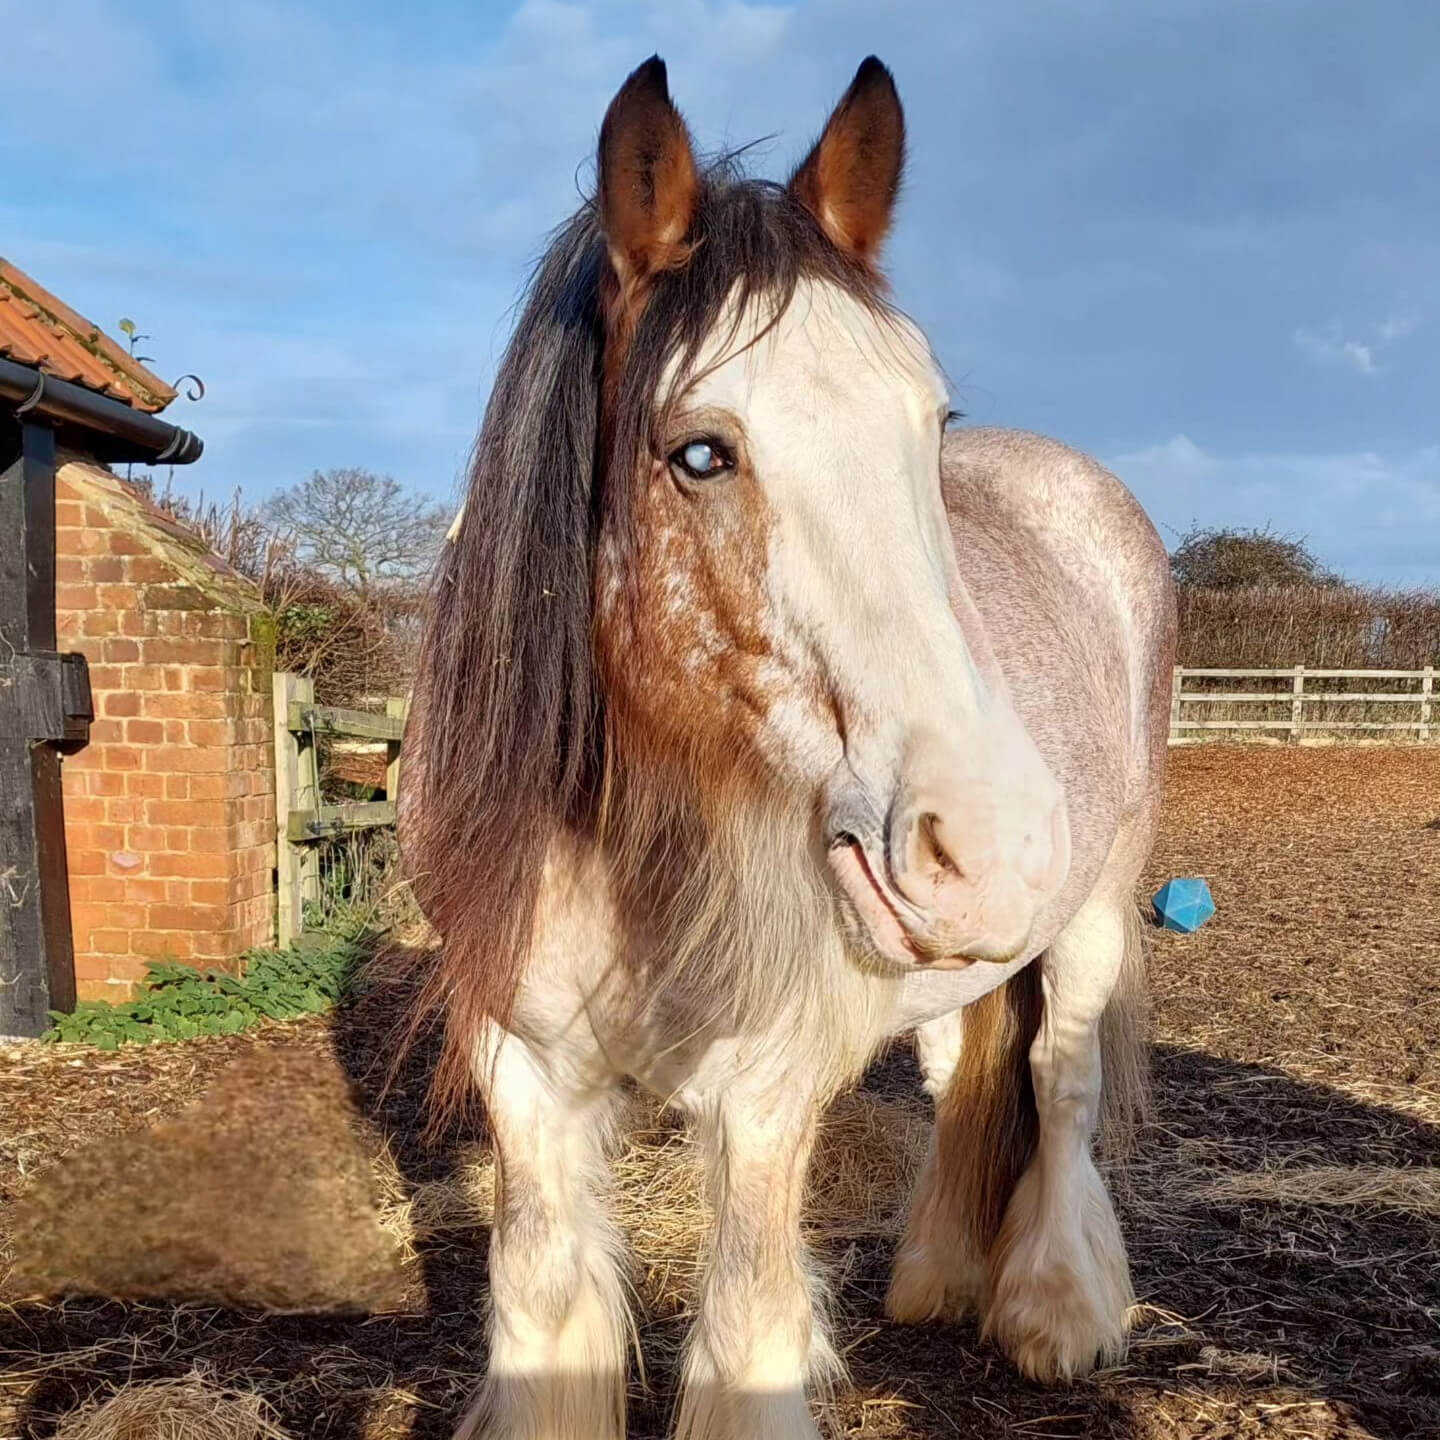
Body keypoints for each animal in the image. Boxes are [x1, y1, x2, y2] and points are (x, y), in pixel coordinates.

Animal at [400, 53, 1176, 1440]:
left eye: (930, 426)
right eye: (700, 453)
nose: (995, 843)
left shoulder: (764, 1091)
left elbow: (750, 1326)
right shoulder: (524, 1074)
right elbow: (545, 1306)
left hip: (1091, 913)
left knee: (1061, 1082)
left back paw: (1055, 1312)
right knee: (970, 1071)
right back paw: (938, 1274)